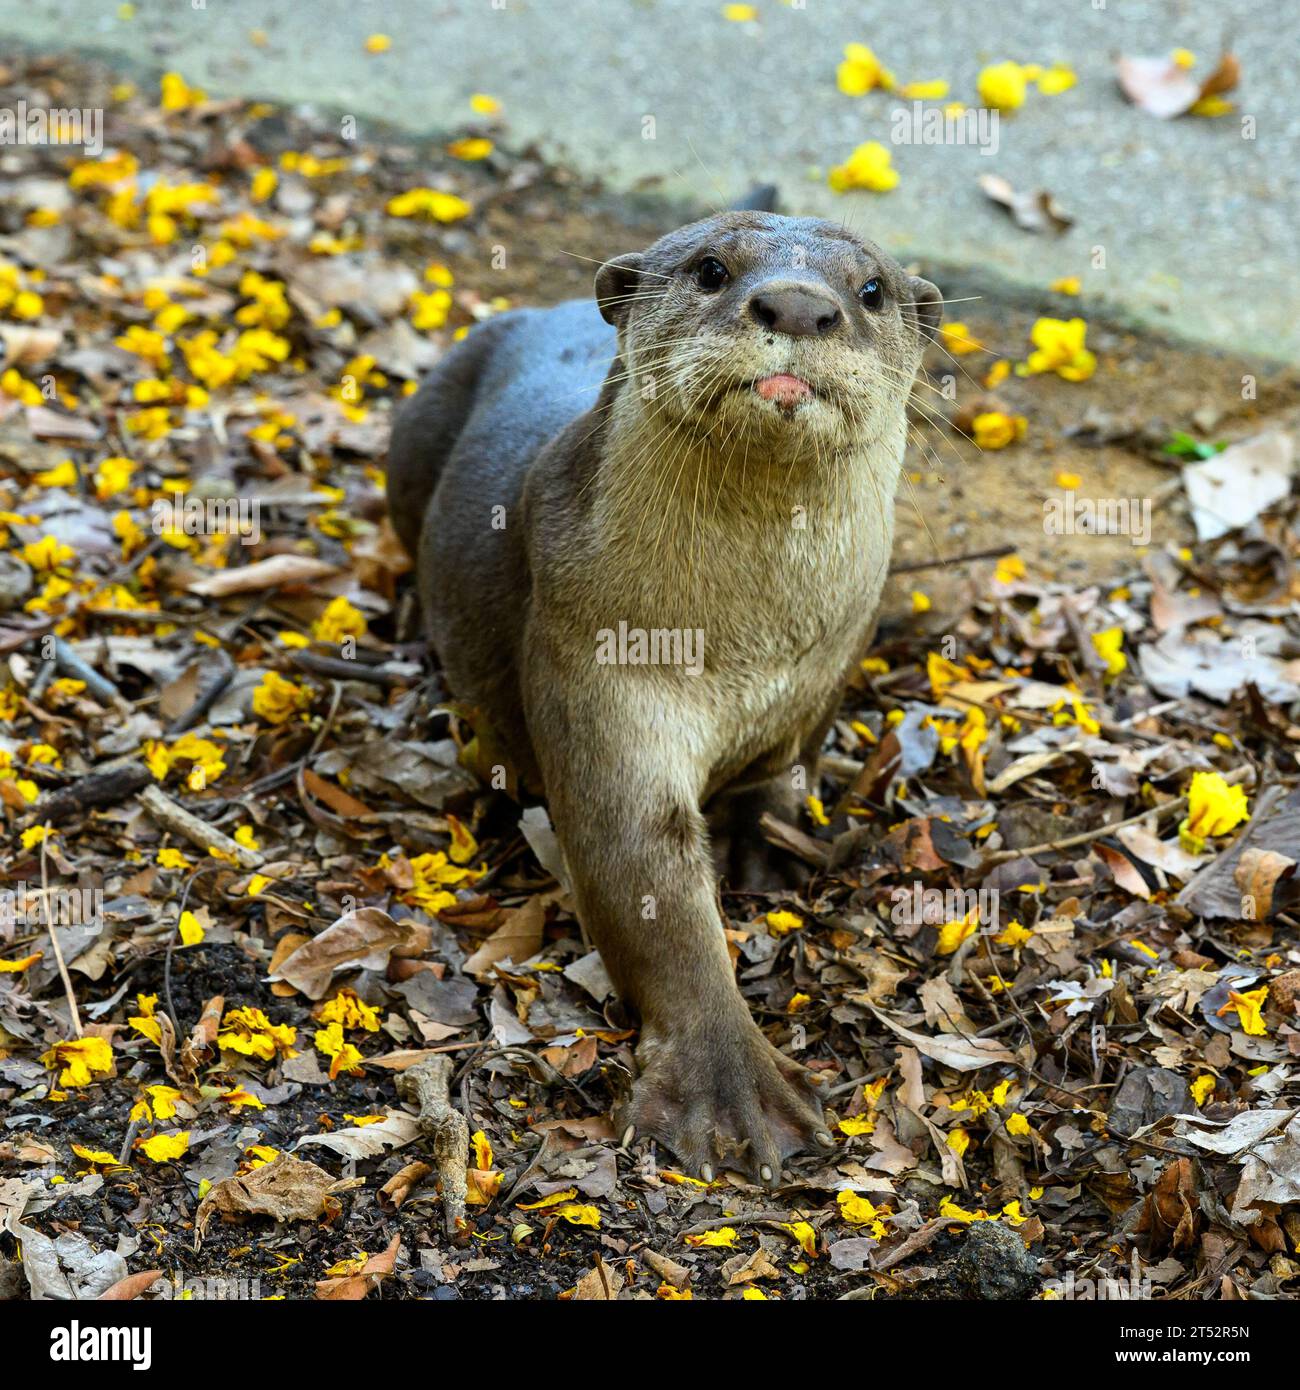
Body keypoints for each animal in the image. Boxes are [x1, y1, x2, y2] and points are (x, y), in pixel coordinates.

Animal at [387, 211, 941, 1181]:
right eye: (712, 268)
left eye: (871, 288)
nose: (799, 304)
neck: (746, 643)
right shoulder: (596, 671)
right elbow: (648, 885)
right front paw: (729, 1092)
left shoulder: (830, 664)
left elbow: (786, 766)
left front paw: (766, 844)